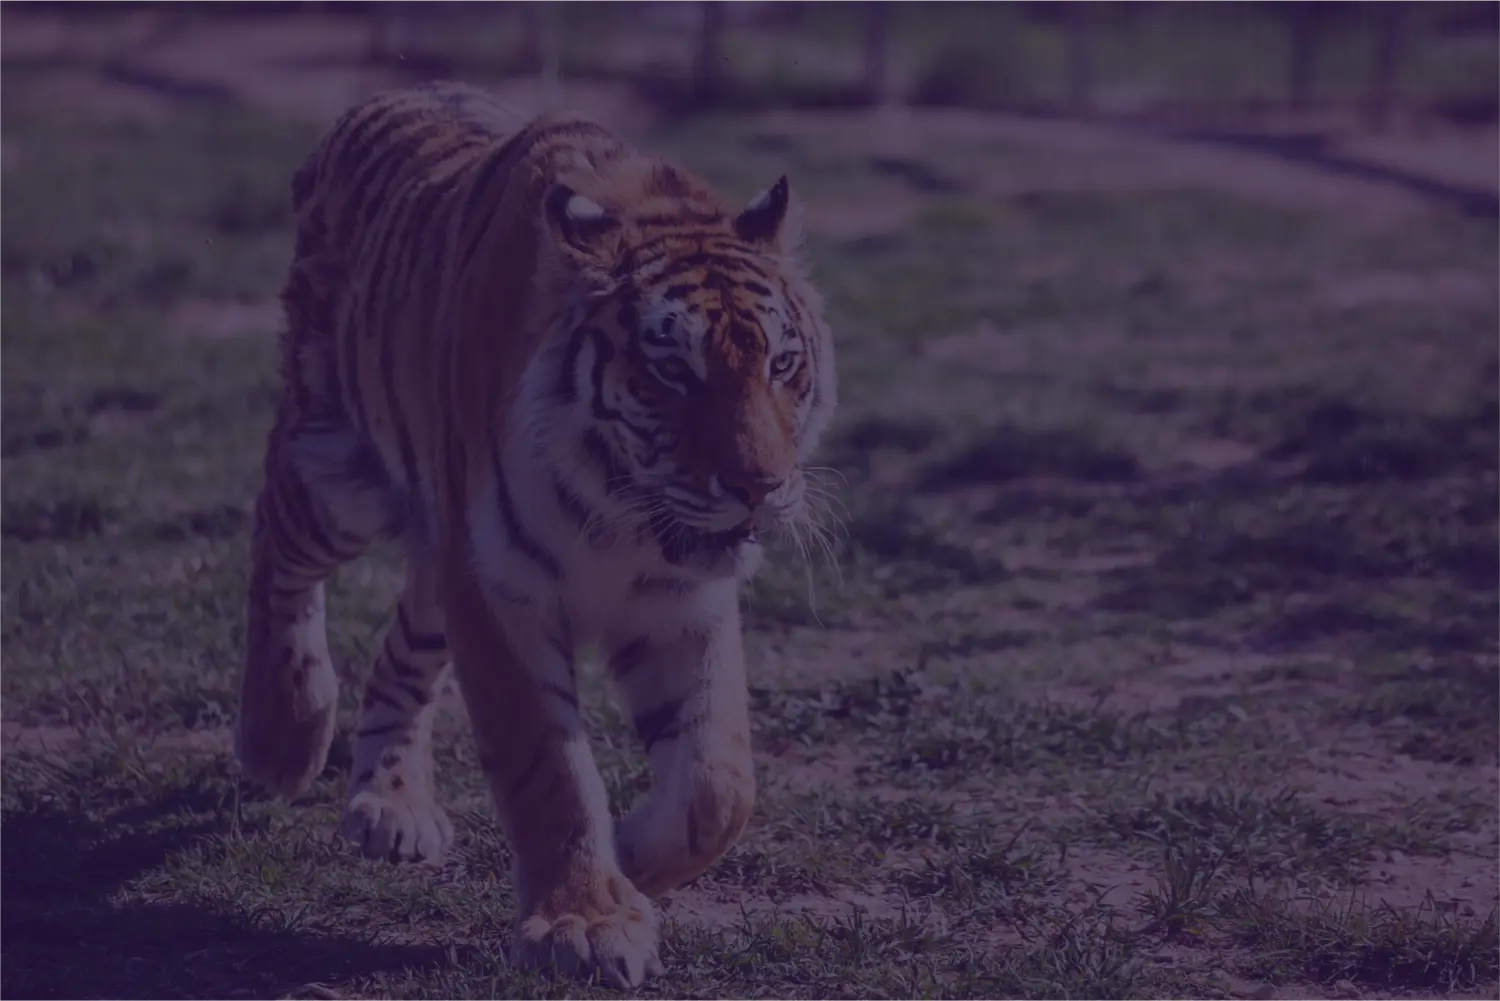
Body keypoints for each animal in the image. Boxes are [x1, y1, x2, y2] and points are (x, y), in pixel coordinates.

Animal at [232, 80, 837, 988]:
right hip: (339, 472)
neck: (621, 514)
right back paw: (283, 736)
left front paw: (634, 857)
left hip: (431, 543)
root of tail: (390, 92)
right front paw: (585, 921)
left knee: (401, 654)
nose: (759, 487)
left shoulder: (680, 602)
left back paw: (392, 806)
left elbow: (718, 785)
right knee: (276, 536)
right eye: (674, 372)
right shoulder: (498, 588)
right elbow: (549, 768)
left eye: (780, 364)